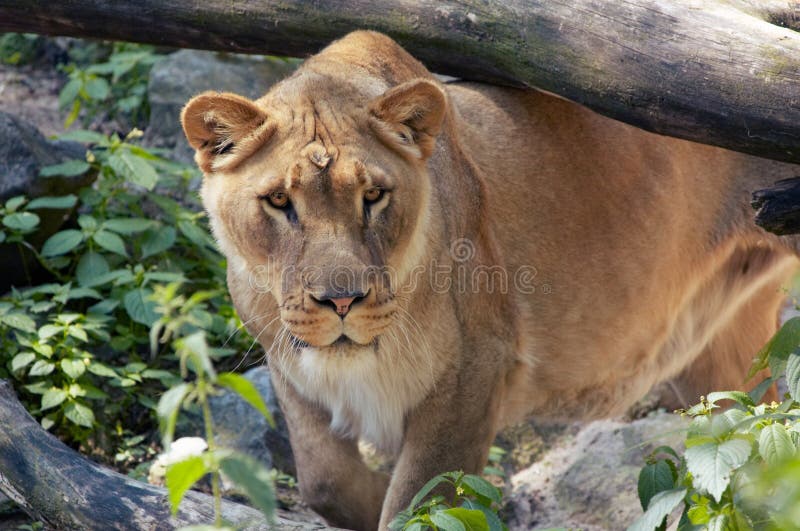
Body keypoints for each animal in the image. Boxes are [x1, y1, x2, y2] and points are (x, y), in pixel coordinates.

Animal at [181, 31, 800, 530]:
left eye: (374, 196)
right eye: (278, 202)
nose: (341, 301)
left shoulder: (474, 372)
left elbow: (417, 504)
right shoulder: (292, 367)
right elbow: (325, 481)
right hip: (719, 363)